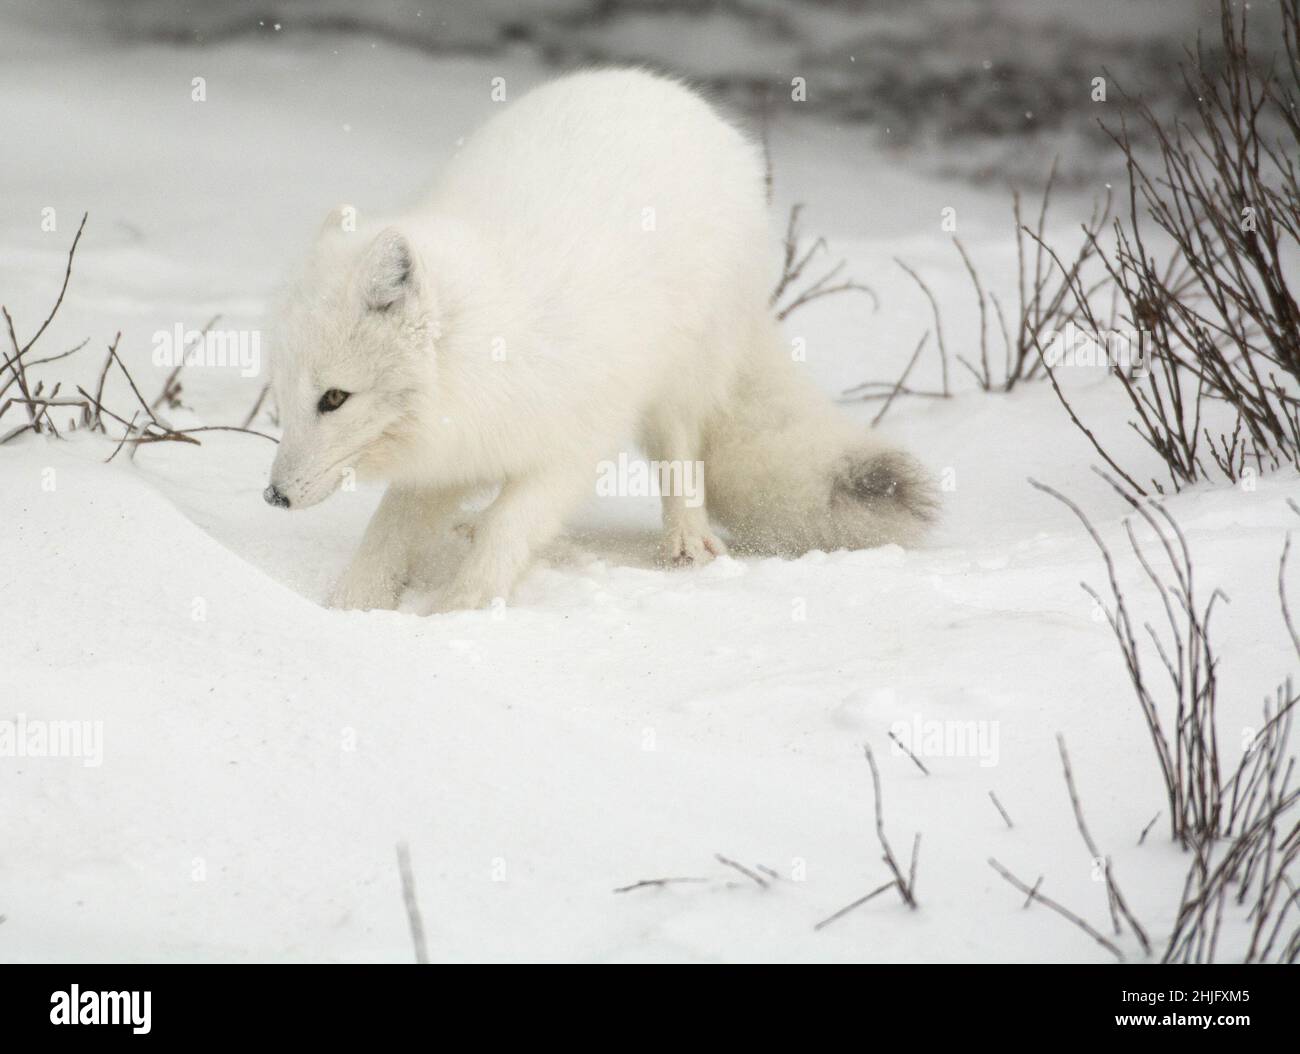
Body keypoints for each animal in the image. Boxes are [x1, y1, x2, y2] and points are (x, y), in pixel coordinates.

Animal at [264, 68, 938, 613]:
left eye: (334, 399)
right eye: (282, 397)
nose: (273, 497)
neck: (492, 351)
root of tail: (676, 95)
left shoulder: (573, 445)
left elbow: (511, 527)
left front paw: (461, 610)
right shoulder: (450, 452)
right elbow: (389, 529)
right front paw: (350, 608)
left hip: (680, 372)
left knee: (682, 453)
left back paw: (685, 537)